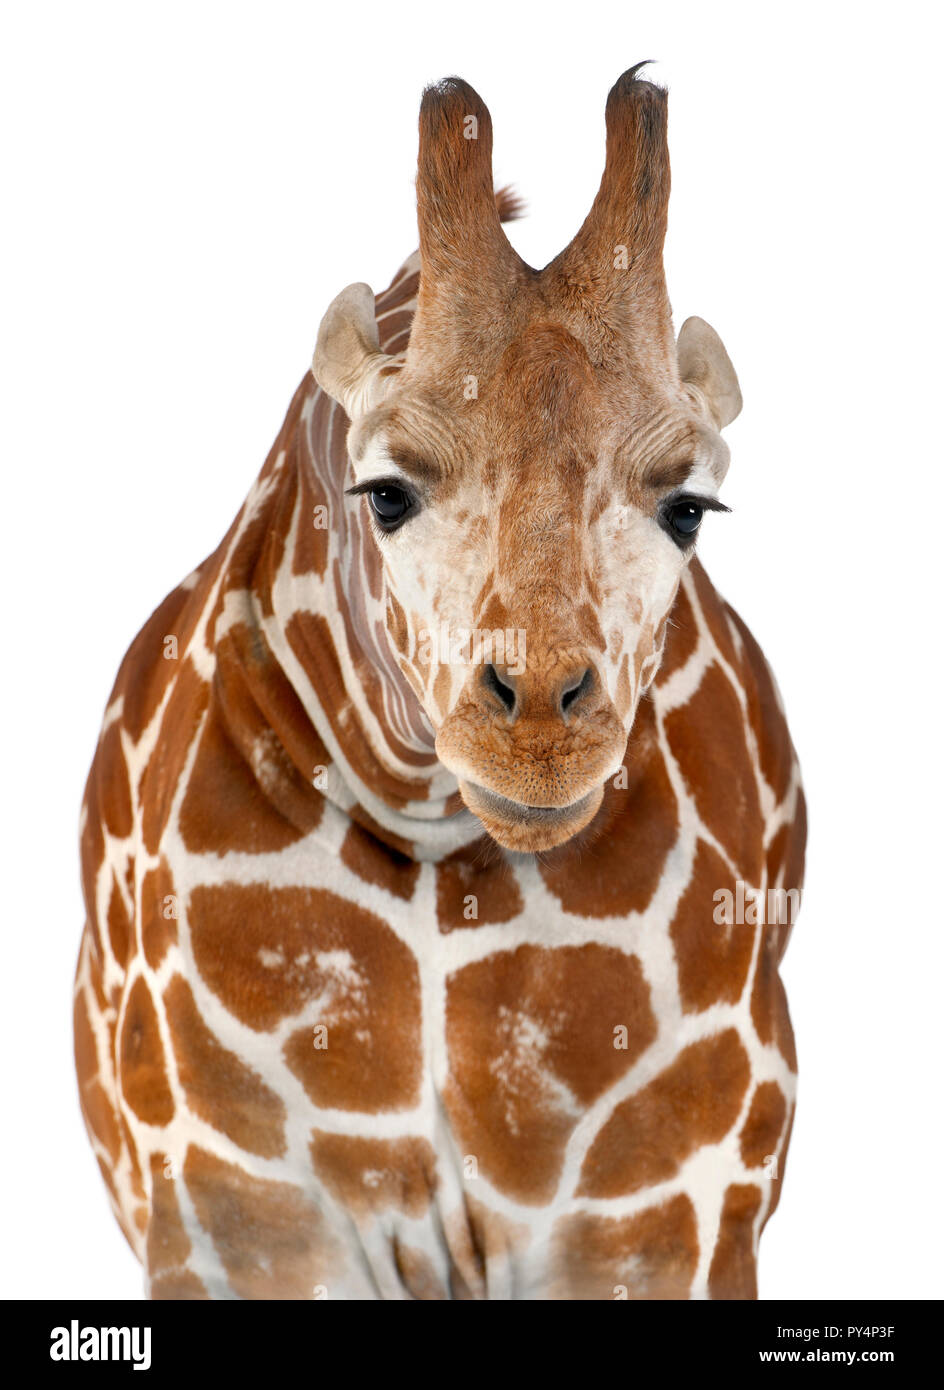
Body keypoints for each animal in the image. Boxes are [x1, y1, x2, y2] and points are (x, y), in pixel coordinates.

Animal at [74, 66, 805, 1301]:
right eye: (385, 491)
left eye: (689, 506)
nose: (540, 733)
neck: (429, 829)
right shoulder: (239, 1209)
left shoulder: (665, 1208)